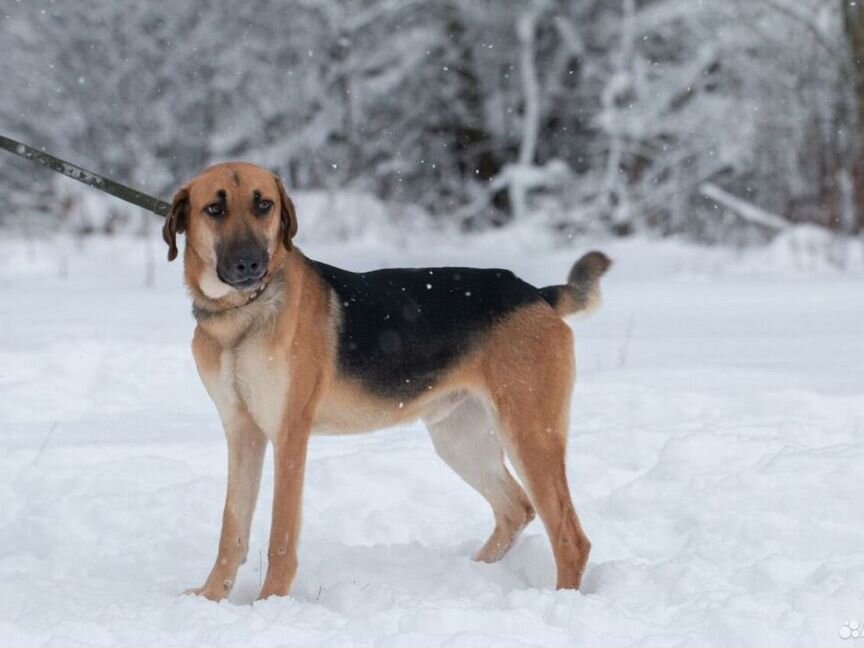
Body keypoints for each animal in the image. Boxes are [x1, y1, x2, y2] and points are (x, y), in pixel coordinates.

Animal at [160, 163, 608, 604]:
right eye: (214, 209)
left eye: (264, 205)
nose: (250, 265)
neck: (240, 316)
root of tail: (538, 294)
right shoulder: (242, 433)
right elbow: (231, 528)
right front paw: (211, 596)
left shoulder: (289, 436)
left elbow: (281, 536)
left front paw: (270, 603)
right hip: (461, 440)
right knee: (516, 509)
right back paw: (472, 574)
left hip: (530, 435)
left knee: (571, 537)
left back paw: (561, 601)